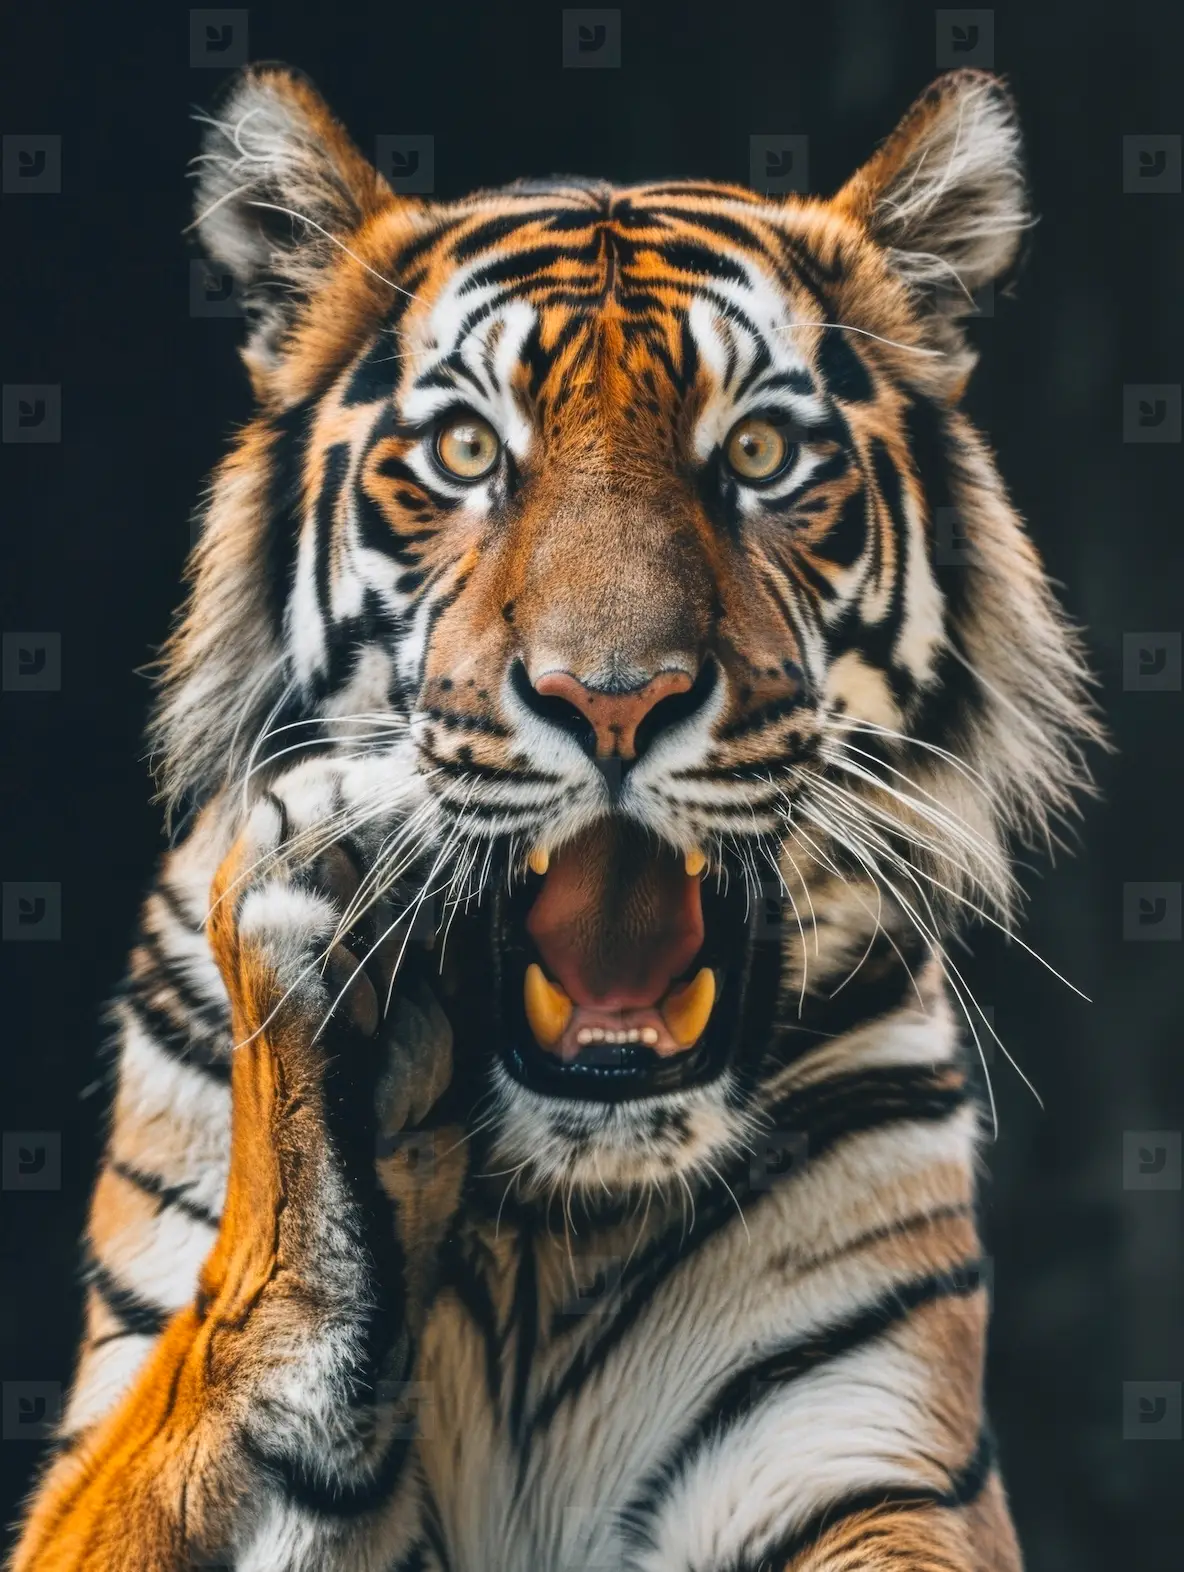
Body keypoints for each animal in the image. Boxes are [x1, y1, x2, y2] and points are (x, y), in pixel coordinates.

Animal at [10, 63, 1100, 1572]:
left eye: (760, 450)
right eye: (467, 449)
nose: (614, 697)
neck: (550, 1223)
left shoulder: (869, 1464)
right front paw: (321, 1001)